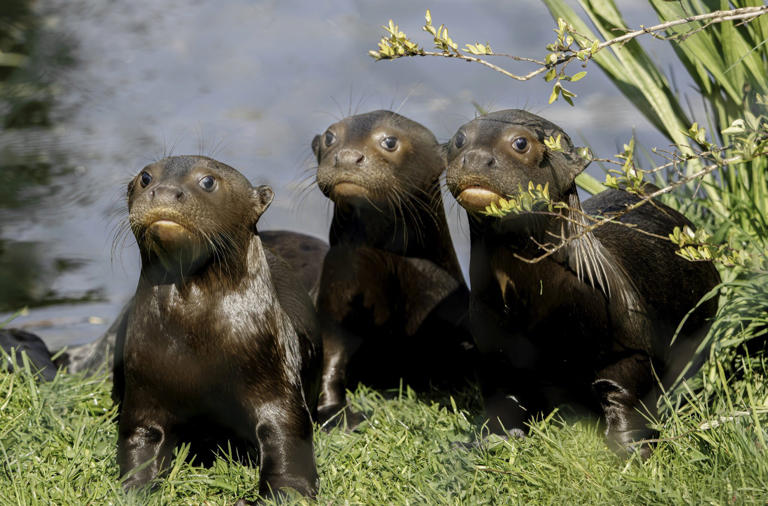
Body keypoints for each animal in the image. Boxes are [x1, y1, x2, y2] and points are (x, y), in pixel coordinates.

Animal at [115, 155, 320, 500]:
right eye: (145, 177)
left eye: (208, 181)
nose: (164, 191)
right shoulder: (144, 386)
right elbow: (140, 435)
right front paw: (134, 488)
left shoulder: (276, 375)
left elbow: (286, 431)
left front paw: (285, 491)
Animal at [311, 110, 475, 426]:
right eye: (330, 137)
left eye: (389, 141)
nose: (347, 156)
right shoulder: (336, 290)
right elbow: (331, 353)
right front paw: (336, 412)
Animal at [444, 109, 719, 456]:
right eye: (459, 138)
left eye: (520, 143)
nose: (477, 157)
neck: (539, 313)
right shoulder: (493, 349)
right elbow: (501, 400)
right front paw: (483, 442)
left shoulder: (627, 345)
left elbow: (626, 394)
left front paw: (632, 447)